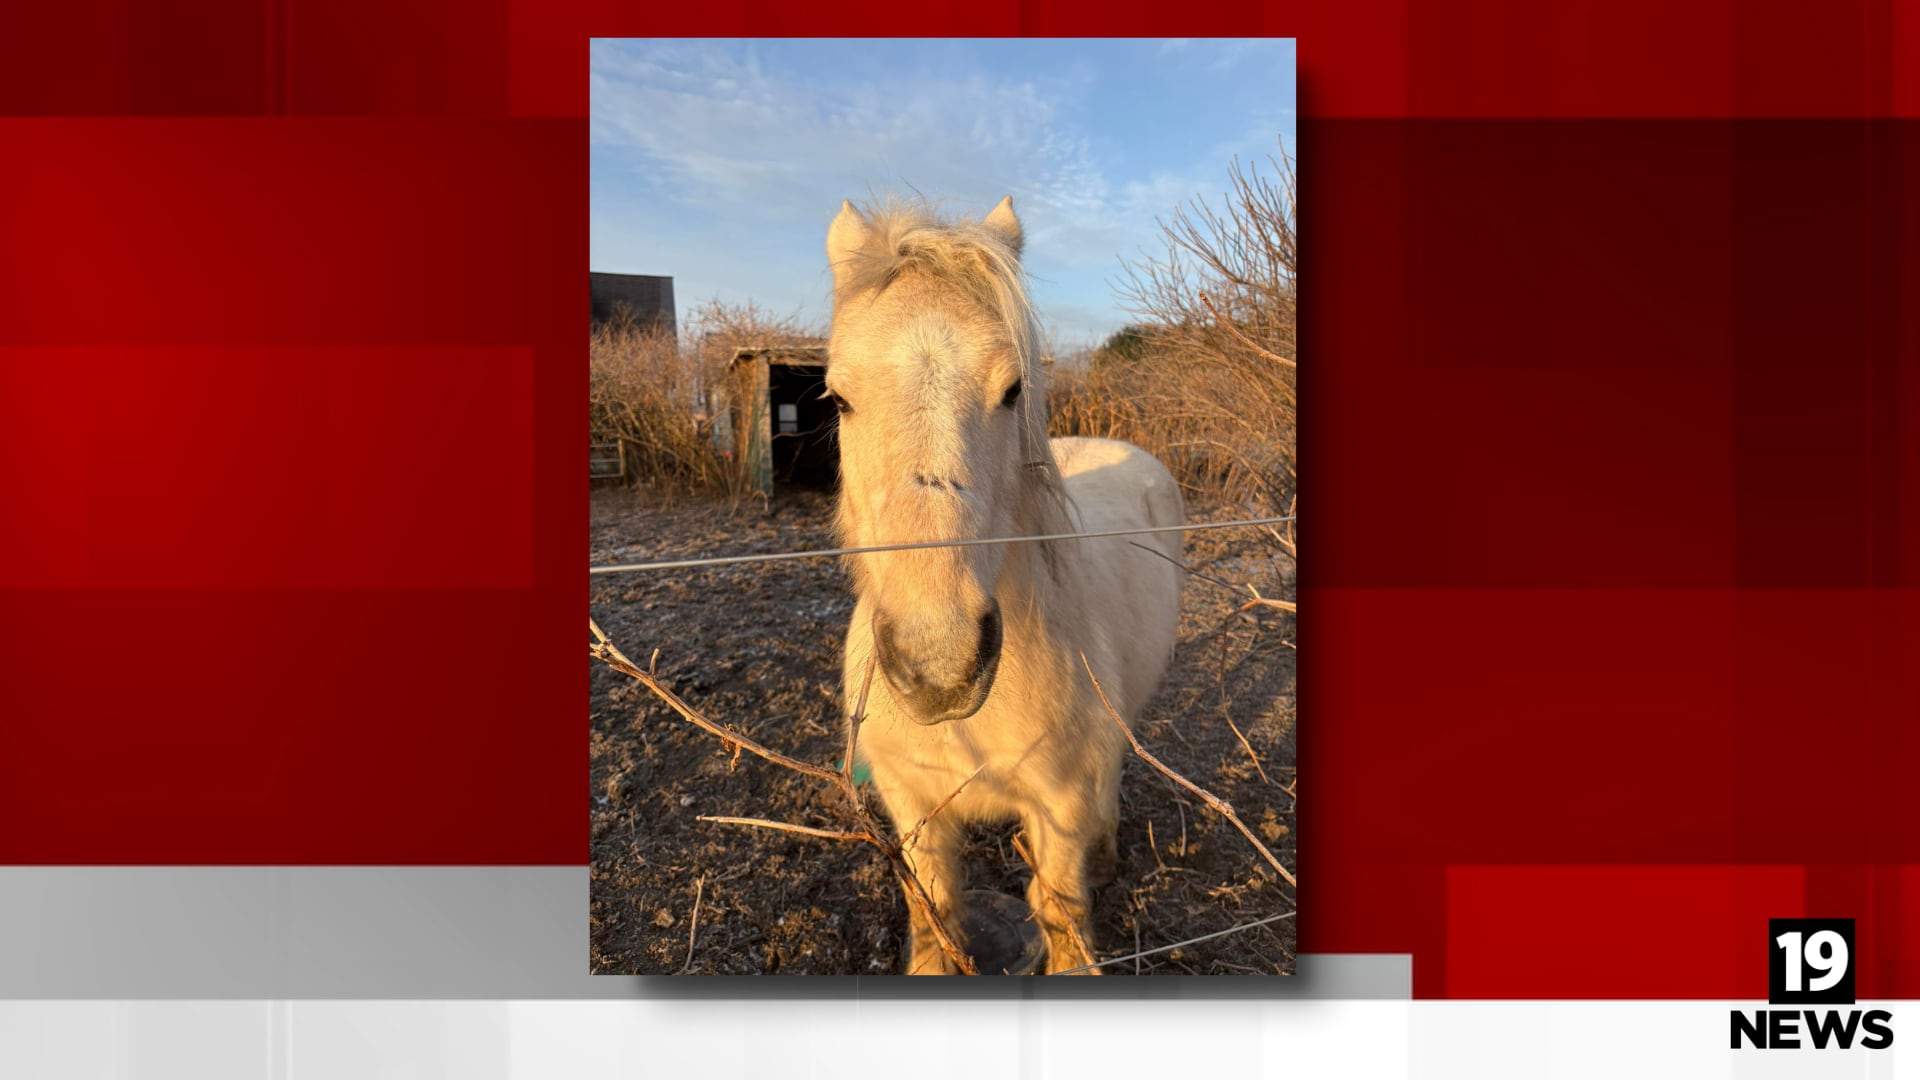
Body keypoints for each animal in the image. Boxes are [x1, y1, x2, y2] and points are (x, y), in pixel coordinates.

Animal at [824, 194, 1185, 974]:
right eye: (836, 398)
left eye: (1014, 389)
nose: (940, 665)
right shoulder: (913, 808)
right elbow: (936, 920)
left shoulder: (1060, 804)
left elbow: (1062, 915)